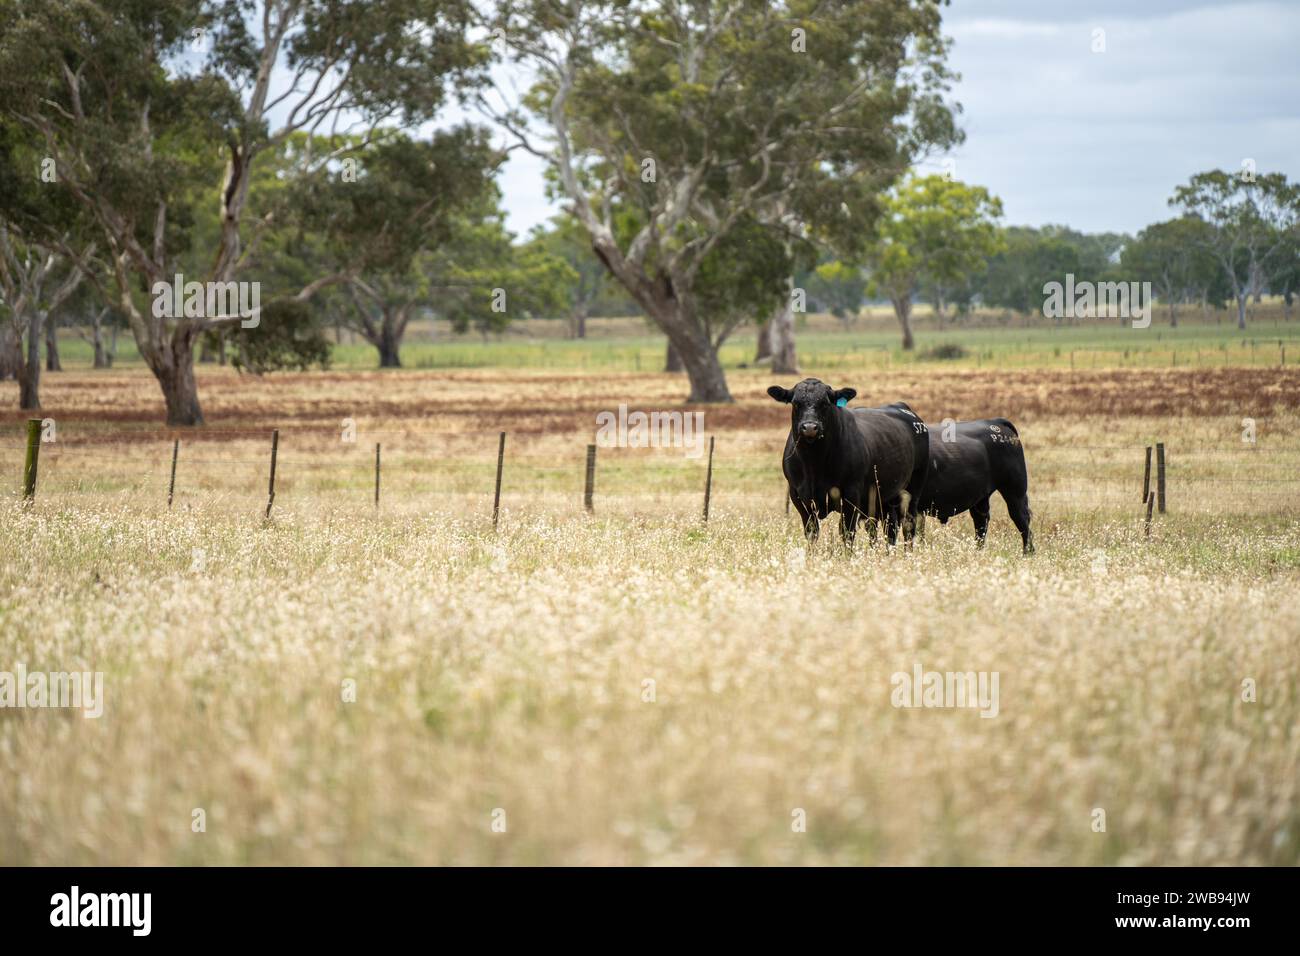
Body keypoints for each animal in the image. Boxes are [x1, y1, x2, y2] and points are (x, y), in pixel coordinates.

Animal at [768, 379, 929, 547]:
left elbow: (846, 532)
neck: (814, 464)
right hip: (885, 496)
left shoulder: (851, 495)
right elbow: (811, 532)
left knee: (908, 525)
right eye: (796, 403)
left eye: (825, 403)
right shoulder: (799, 497)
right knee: (889, 528)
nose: (810, 427)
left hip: (913, 489)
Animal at [914, 418, 1034, 554]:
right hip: (981, 500)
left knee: (1023, 522)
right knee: (981, 524)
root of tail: (995, 422)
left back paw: (1027, 554)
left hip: (1015, 493)